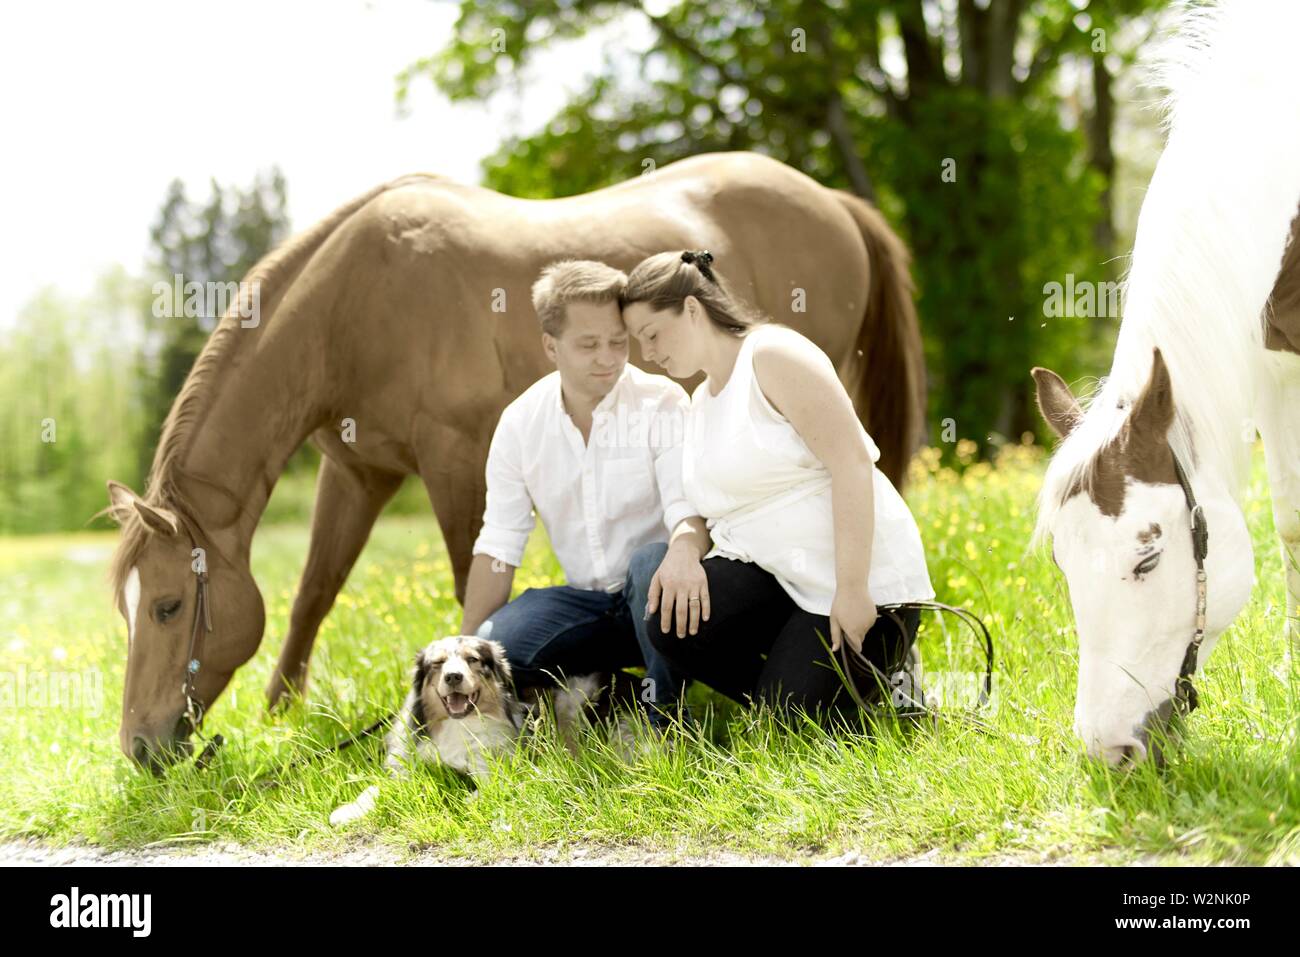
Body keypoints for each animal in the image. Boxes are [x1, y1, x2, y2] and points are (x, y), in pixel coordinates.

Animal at [101, 150, 927, 769]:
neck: (354, 307)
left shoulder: (454, 460)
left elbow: (470, 582)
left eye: (169, 605)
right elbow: (313, 593)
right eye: (129, 606)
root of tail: (832, 199)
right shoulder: (357, 473)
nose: (141, 747)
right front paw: (281, 714)